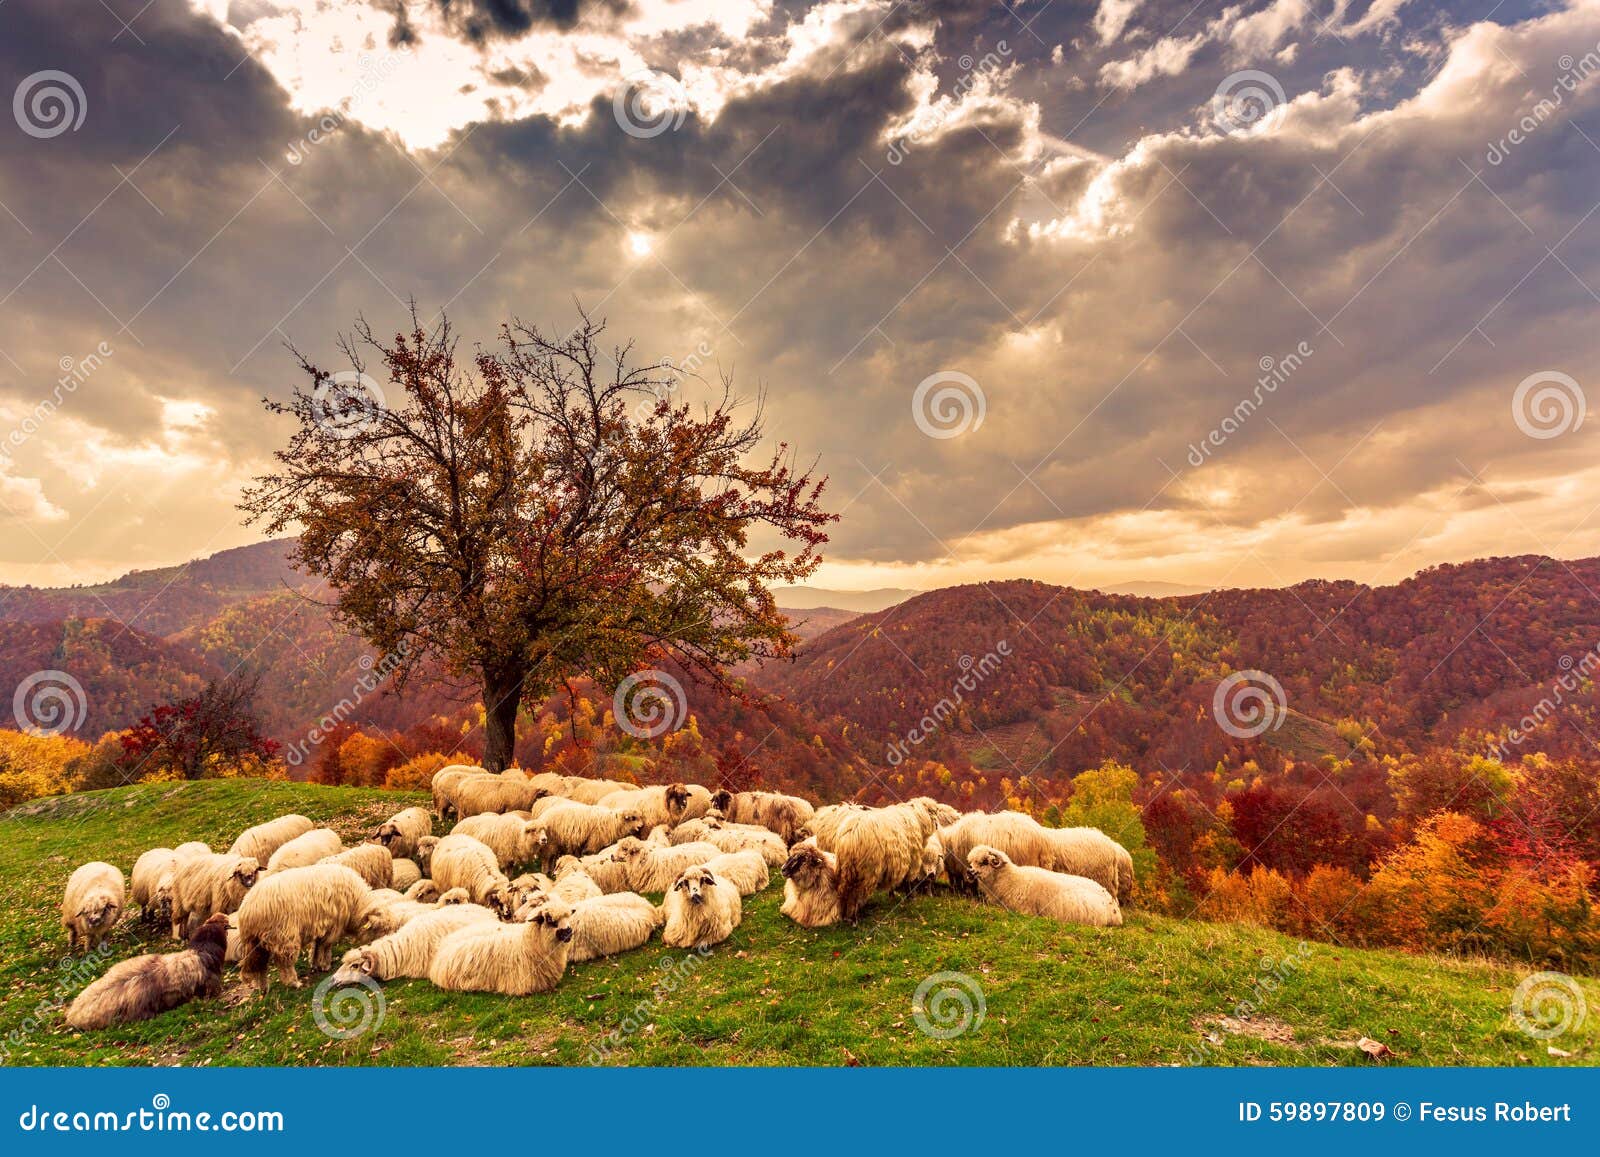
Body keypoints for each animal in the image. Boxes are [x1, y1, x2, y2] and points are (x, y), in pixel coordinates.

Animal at [236, 863, 371, 991]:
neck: (357, 903)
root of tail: (247, 909)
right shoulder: (334, 926)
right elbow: (325, 946)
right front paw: (325, 964)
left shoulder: (322, 926)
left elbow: (317, 946)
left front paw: (315, 963)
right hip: (283, 936)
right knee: (284, 963)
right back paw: (293, 982)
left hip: (255, 943)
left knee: (258, 964)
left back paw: (263, 987)